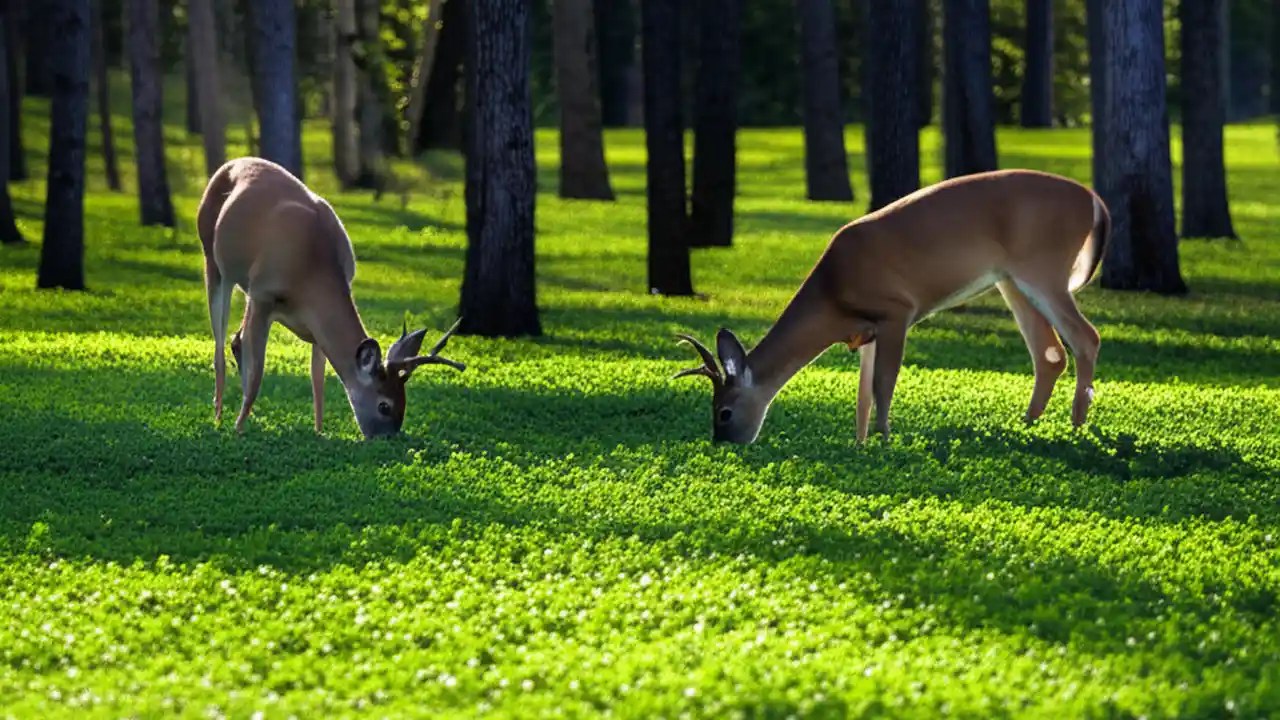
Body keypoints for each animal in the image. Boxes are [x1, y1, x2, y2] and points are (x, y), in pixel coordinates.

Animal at [196, 157, 466, 438]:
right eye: (384, 406)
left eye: (403, 402)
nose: (388, 437)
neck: (310, 271)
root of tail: (232, 162)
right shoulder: (262, 294)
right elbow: (258, 371)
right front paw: (238, 427)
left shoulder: (316, 323)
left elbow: (318, 376)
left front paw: (319, 430)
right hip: (213, 261)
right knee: (220, 345)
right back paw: (218, 416)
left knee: (236, 340)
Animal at [674, 169, 1110, 445]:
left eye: (724, 412)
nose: (723, 443)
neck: (833, 293)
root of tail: (1095, 201)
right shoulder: (865, 332)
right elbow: (862, 394)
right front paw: (860, 443)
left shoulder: (897, 310)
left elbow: (883, 384)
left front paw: (884, 439)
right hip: (1011, 280)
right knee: (1049, 354)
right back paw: (1026, 425)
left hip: (1043, 268)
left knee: (1086, 337)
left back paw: (1076, 426)